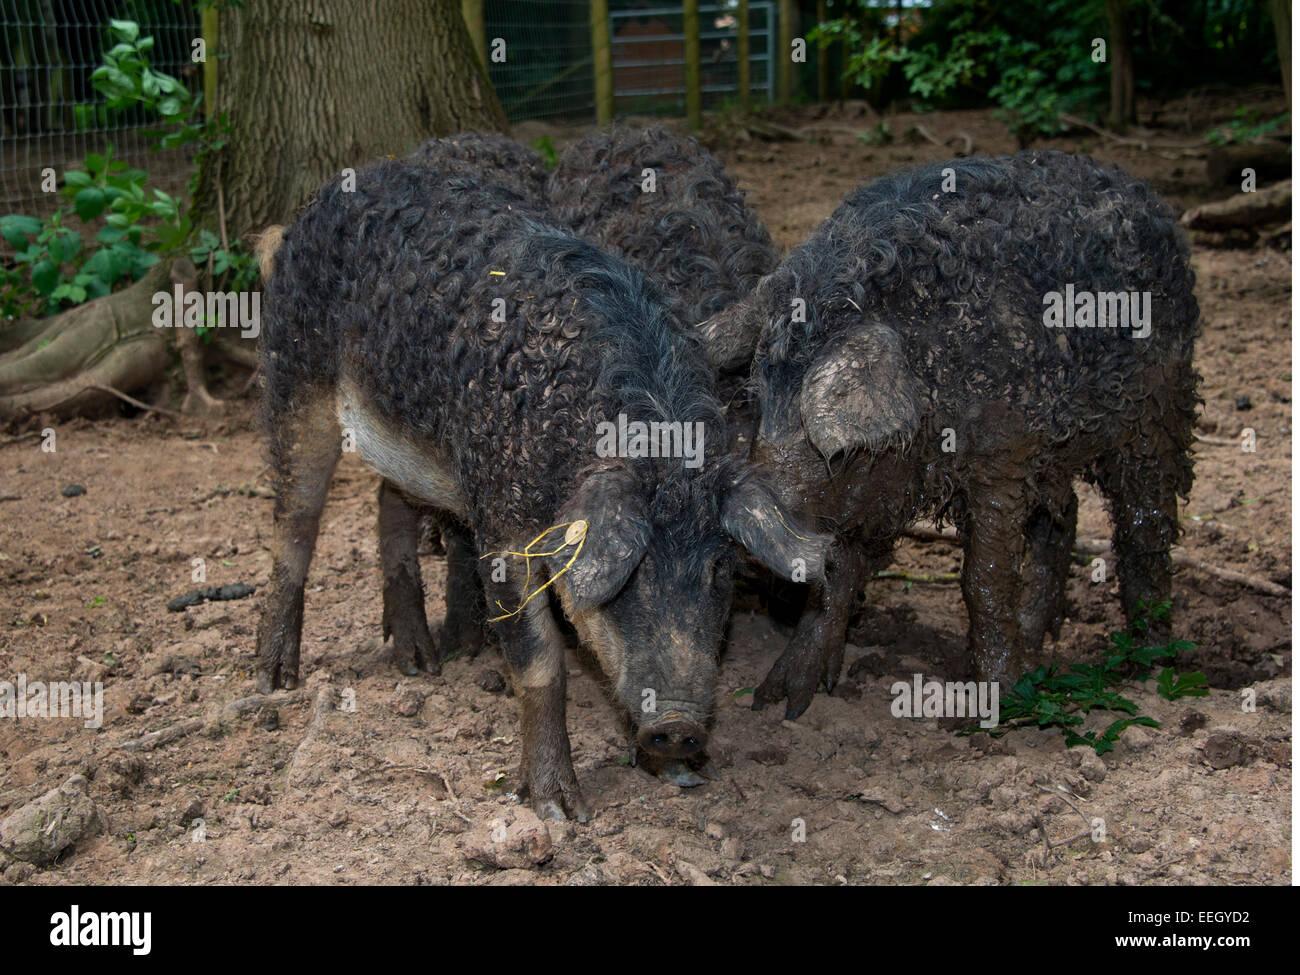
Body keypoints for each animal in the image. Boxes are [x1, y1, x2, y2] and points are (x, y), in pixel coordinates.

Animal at [255, 159, 826, 817]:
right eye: (632, 571)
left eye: (719, 571)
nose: (678, 725)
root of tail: (331, 194)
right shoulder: (502, 526)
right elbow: (541, 660)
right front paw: (557, 808)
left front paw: (680, 776)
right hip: (295, 374)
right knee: (294, 520)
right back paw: (276, 678)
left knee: (387, 504)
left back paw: (419, 663)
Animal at [702, 151, 1200, 717]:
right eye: (759, 398)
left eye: (818, 428)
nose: (742, 513)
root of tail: (1148, 196)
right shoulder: (862, 494)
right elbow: (837, 572)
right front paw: (780, 702)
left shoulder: (1003, 456)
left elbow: (983, 576)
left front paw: (1002, 704)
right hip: (1055, 448)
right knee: (1064, 513)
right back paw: (1038, 636)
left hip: (1160, 404)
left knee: (1146, 524)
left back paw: (1148, 664)